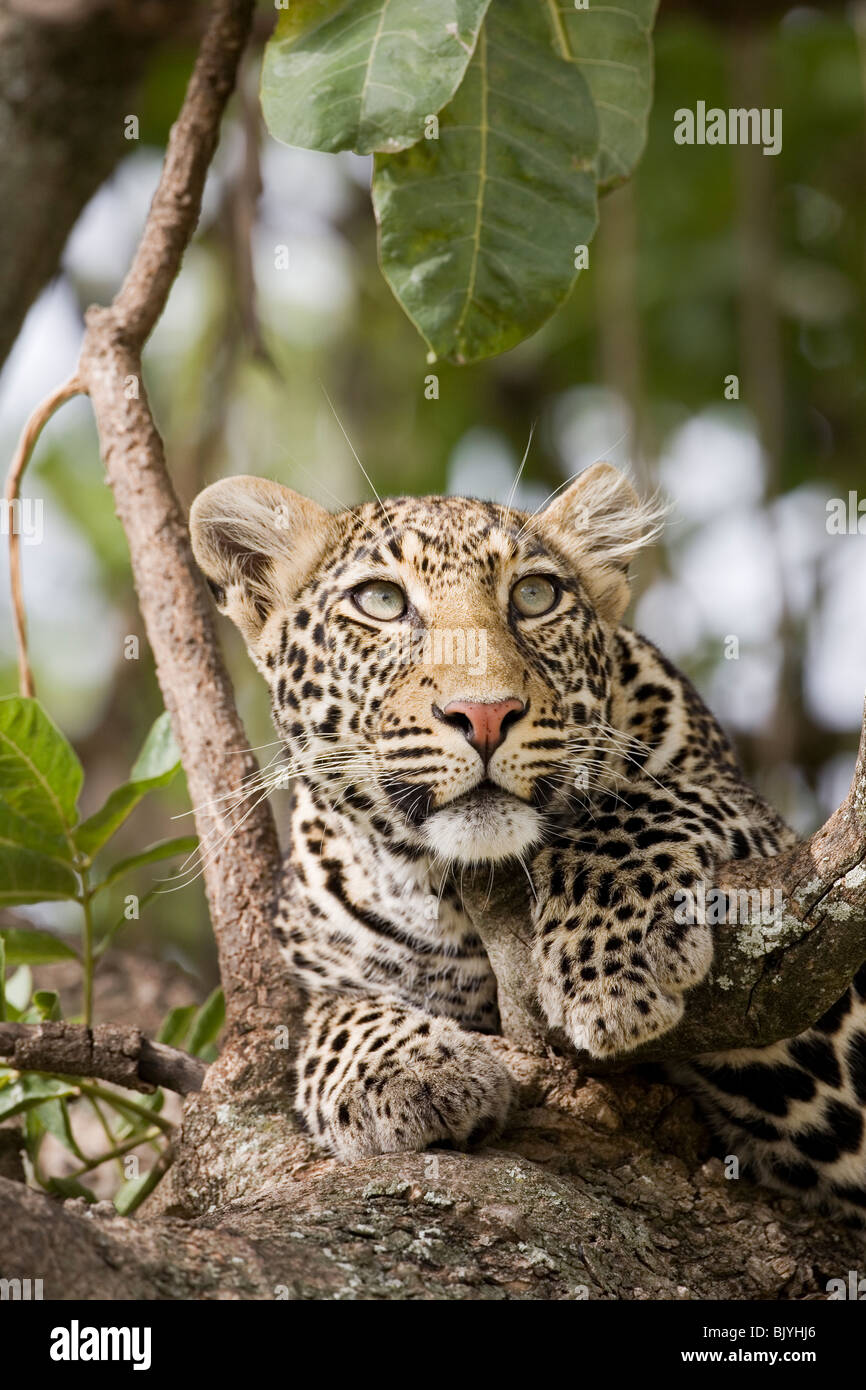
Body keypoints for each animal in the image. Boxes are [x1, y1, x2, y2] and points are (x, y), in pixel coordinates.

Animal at [190, 462, 866, 1220]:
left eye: (534, 595)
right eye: (381, 601)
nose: (485, 714)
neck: (450, 886)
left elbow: (659, 801)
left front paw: (611, 959)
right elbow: (328, 1019)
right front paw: (408, 1070)